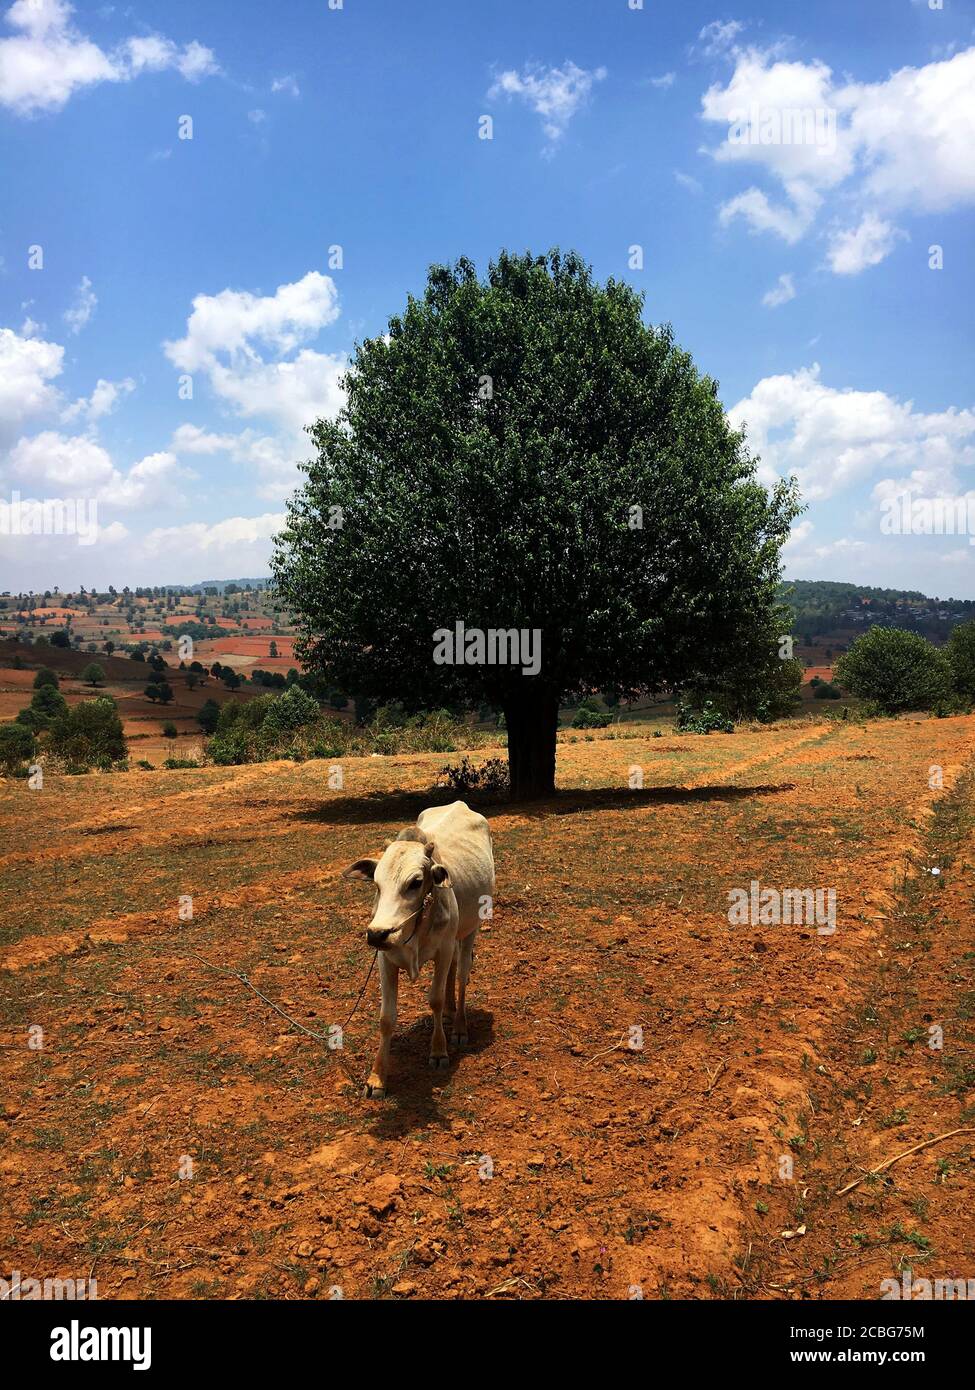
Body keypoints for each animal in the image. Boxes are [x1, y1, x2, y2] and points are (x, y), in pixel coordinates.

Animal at [343, 800, 495, 1098]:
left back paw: (459, 1026)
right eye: (376, 884)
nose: (377, 933)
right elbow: (386, 1018)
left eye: (414, 882)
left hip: (470, 931)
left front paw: (438, 1051)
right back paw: (450, 1012)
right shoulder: (385, 960)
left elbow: (434, 999)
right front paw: (377, 1077)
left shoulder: (443, 949)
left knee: (461, 976)